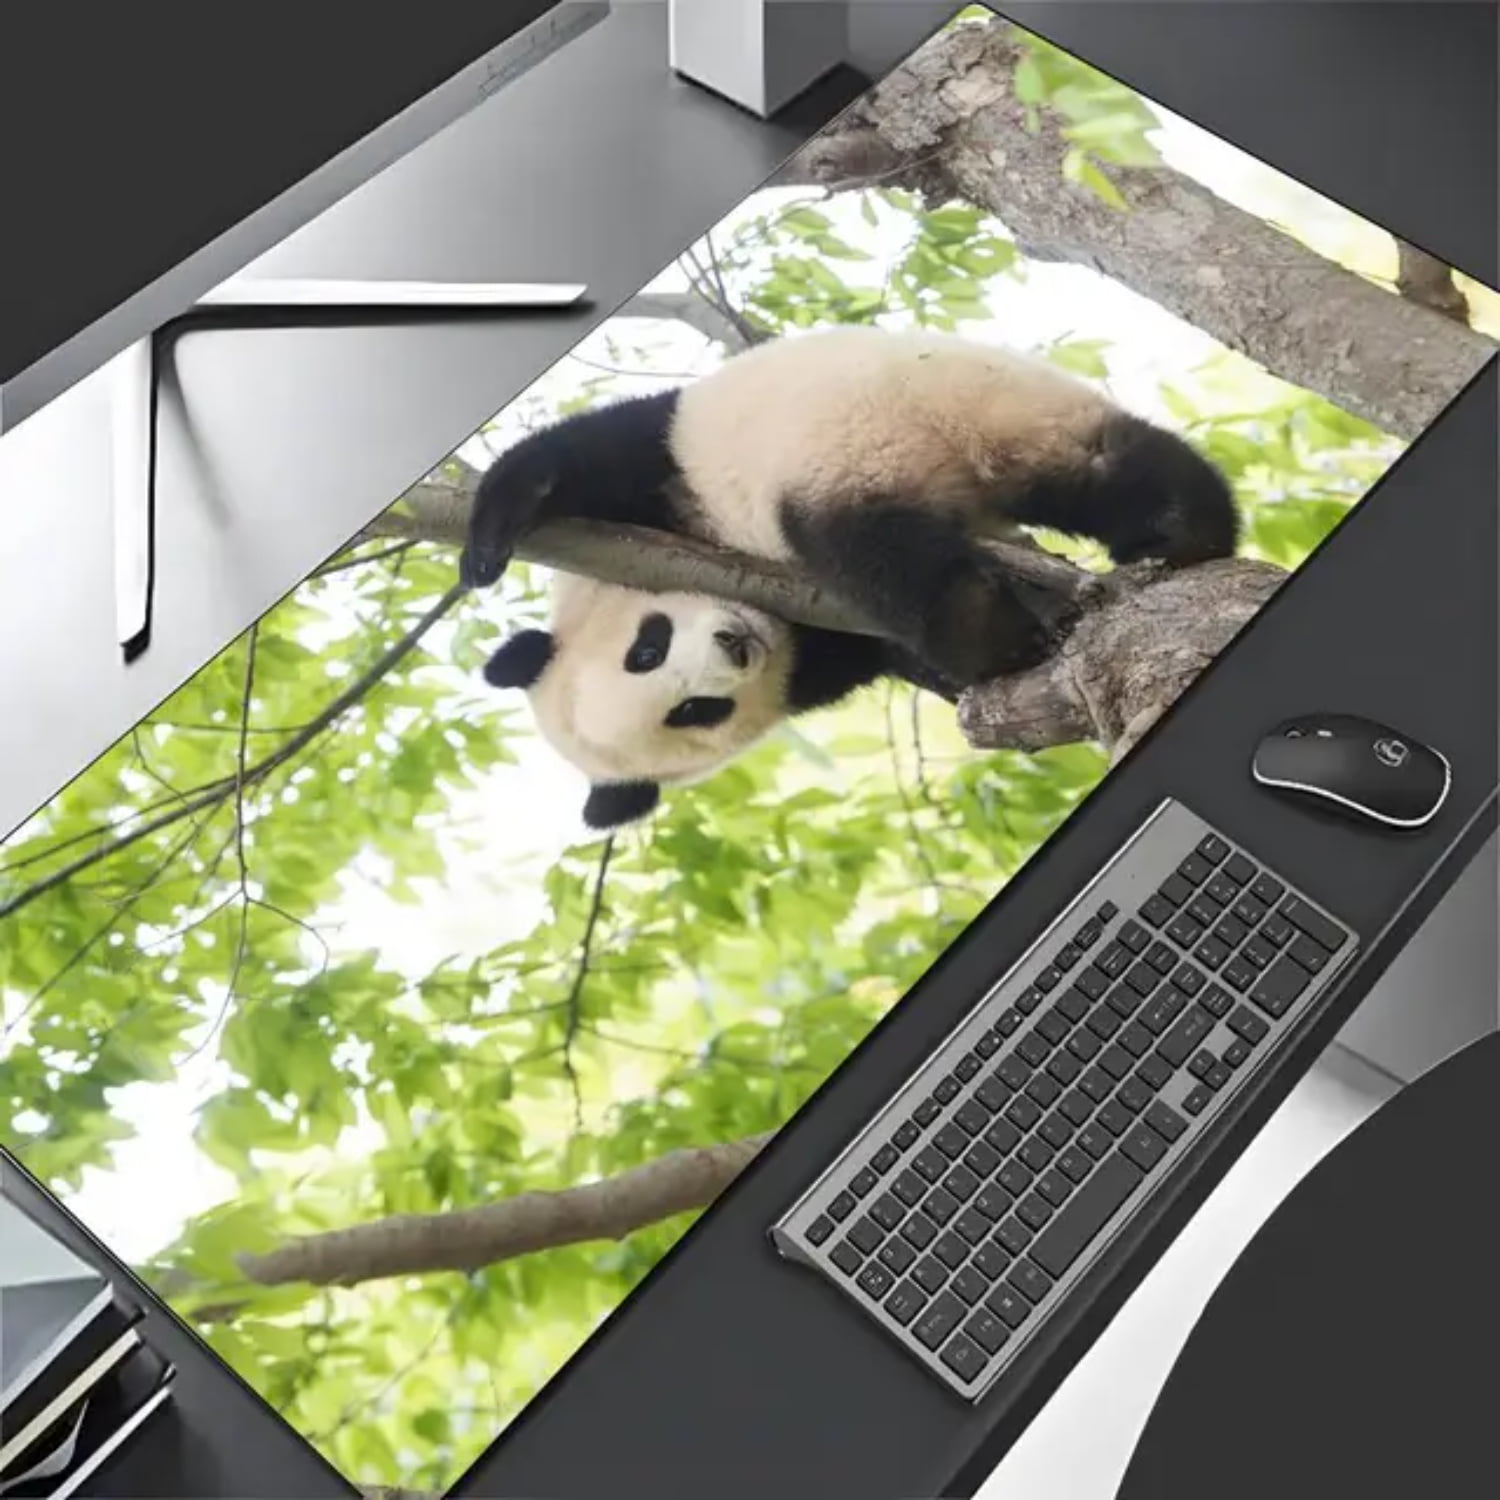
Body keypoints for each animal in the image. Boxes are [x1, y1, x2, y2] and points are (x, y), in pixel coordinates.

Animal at [462, 324, 1238, 832]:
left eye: (645, 649)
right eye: (692, 710)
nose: (732, 648)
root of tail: (932, 434)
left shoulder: (656, 487)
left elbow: (580, 459)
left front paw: (490, 540)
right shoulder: (819, 656)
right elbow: (873, 653)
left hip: (845, 448)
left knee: (881, 558)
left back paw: (986, 634)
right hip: (1008, 416)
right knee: (1102, 465)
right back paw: (1182, 529)